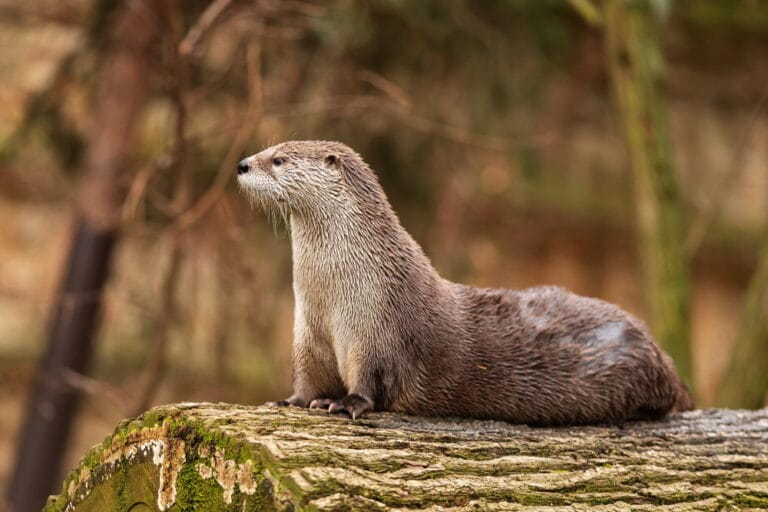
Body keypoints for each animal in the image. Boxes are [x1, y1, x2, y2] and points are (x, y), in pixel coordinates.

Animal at [236, 140, 693, 425]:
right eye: (268, 150)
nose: (242, 164)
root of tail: (660, 352)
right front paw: (289, 400)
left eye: (278, 159)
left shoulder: (377, 328)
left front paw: (342, 403)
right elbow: (306, 375)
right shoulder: (308, 331)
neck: (337, 291)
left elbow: (371, 381)